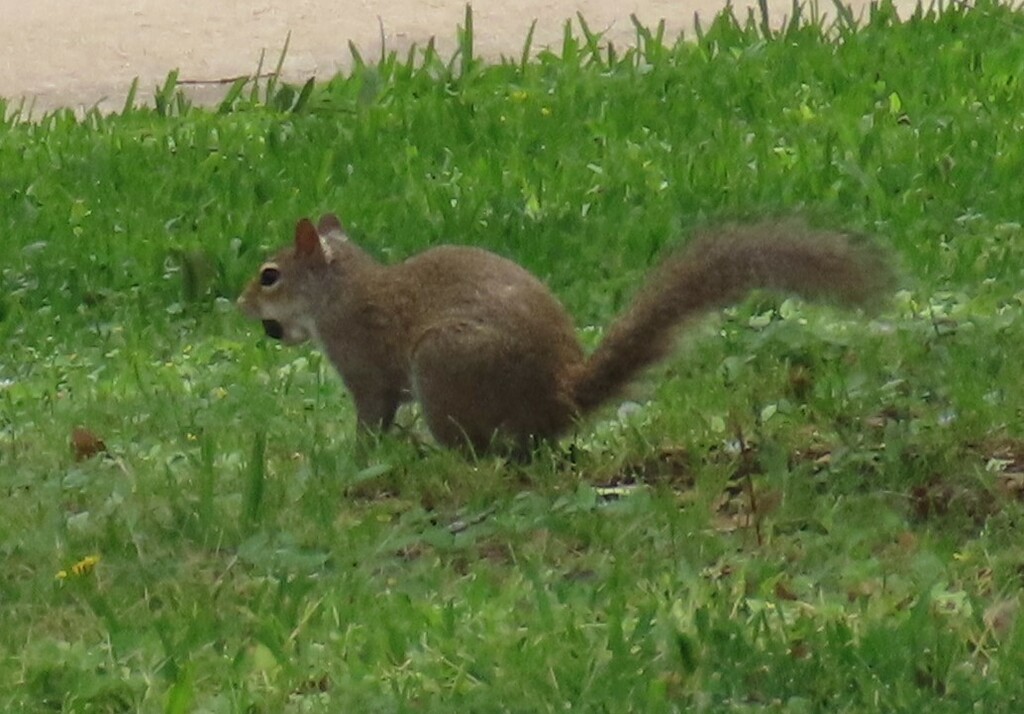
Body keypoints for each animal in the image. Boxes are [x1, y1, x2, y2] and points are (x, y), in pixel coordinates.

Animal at [238, 214, 890, 454]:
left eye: (270, 276)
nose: (241, 303)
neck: (340, 291)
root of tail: (559, 400)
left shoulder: (364, 361)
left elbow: (372, 415)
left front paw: (355, 456)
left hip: (444, 364)